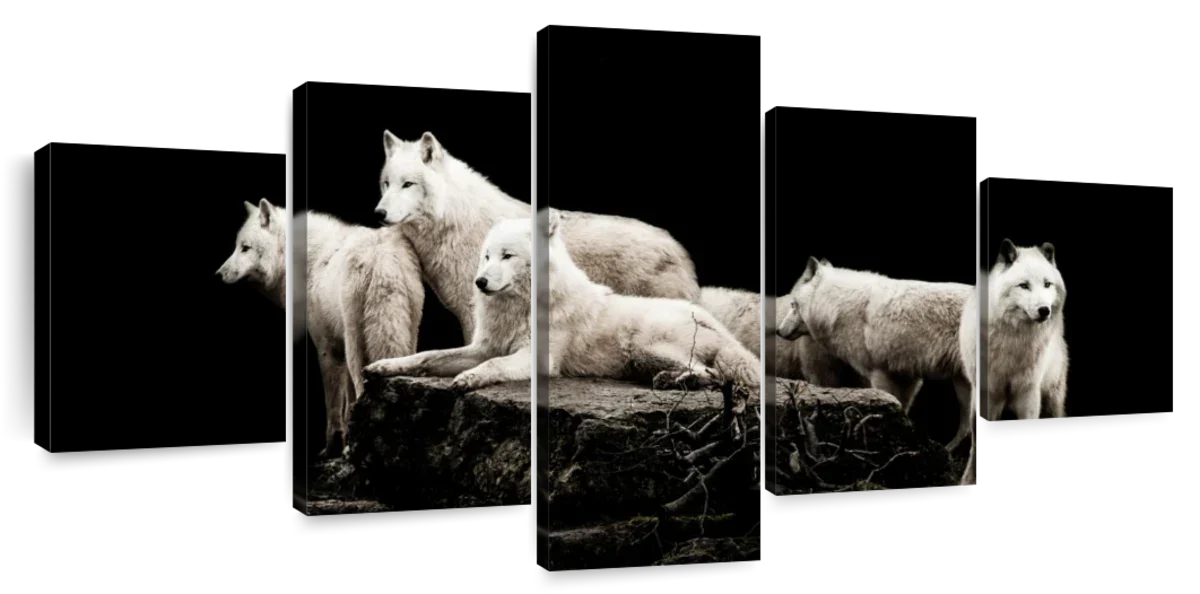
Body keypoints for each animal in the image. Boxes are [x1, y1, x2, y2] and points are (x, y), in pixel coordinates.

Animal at [217, 198, 425, 458]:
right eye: (237, 246)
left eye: (245, 248)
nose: (219, 274)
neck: (309, 261)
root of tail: (382, 261)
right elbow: (349, 403)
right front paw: (347, 441)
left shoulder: (329, 348)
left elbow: (334, 405)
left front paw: (334, 448)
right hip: (406, 337)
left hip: (356, 348)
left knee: (361, 386)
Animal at [363, 217, 532, 392]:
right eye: (487, 257)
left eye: (507, 255)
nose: (479, 282)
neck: (516, 309)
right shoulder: (484, 349)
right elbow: (427, 355)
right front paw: (385, 365)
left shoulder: (529, 353)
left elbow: (495, 362)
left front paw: (469, 377)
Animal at [374, 130, 700, 344]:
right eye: (386, 184)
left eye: (408, 184)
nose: (379, 213)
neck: (455, 219)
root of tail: (678, 247)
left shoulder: (474, 310)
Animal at [777, 257, 975, 452]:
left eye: (793, 305)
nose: (778, 331)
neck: (838, 306)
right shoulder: (907, 377)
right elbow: (902, 407)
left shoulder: (879, 373)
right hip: (962, 383)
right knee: (967, 429)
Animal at [979, 239, 1068, 421]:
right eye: (1024, 286)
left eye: (1047, 284)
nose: (1044, 310)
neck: (1016, 338)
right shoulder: (992, 392)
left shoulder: (1028, 391)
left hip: (1053, 397)